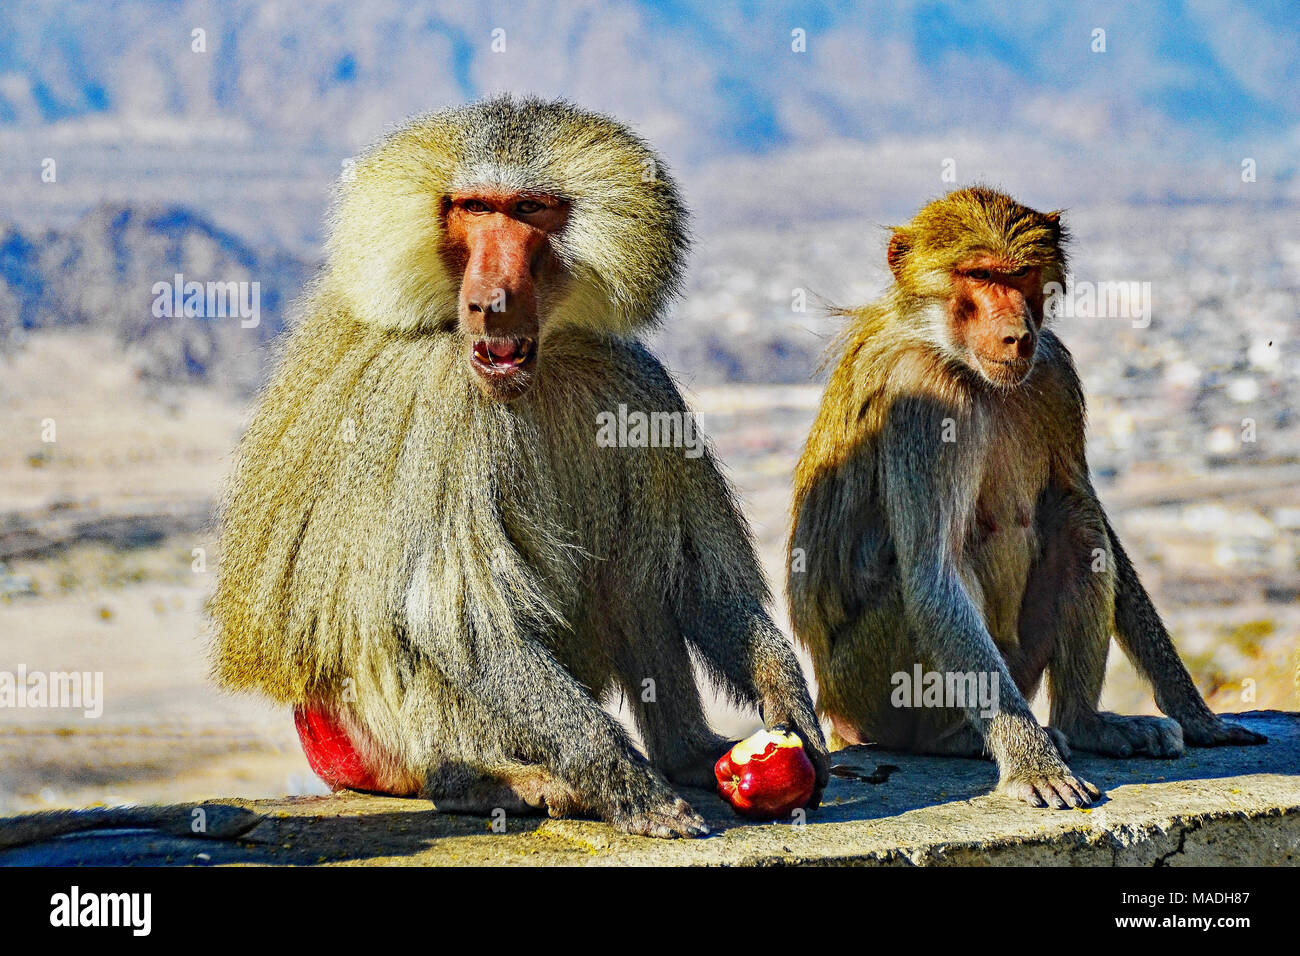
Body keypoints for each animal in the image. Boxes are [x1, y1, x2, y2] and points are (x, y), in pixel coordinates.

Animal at [208, 95, 829, 839]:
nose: (492, 300)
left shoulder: (635, 380)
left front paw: (788, 707)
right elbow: (460, 621)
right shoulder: (444, 403)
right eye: (474, 209)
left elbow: (695, 578)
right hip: (370, 735)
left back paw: (682, 753)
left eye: (528, 209)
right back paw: (483, 785)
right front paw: (625, 786)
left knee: (638, 563)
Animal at [787, 186, 1265, 809]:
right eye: (979, 275)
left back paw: (1087, 723)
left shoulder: (1055, 370)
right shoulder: (923, 398)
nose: (1016, 334)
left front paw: (1198, 715)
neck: (954, 357)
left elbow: (1089, 516)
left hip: (1017, 662)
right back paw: (958, 740)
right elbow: (933, 573)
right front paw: (1032, 764)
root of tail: (836, 711)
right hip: (864, 688)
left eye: (1020, 276)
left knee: (1078, 527)